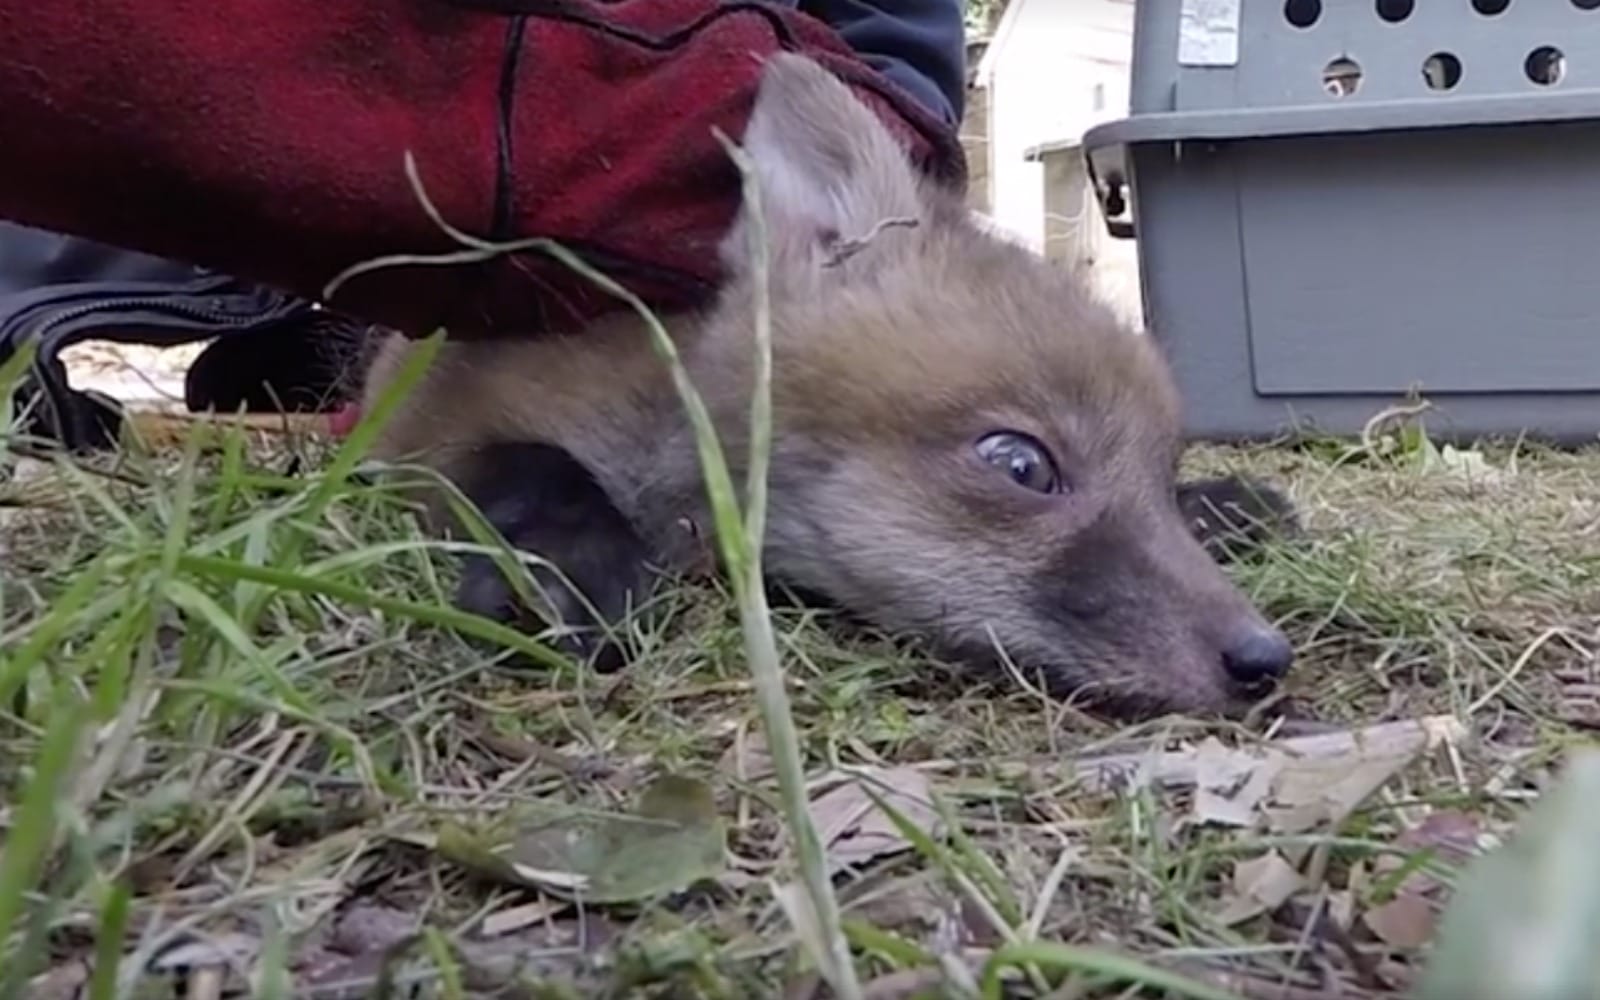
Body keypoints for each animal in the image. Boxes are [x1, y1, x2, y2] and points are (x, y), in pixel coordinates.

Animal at [357, 52, 1299, 719]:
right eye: (1022, 466)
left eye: (1162, 474)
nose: (1264, 661)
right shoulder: (433, 419)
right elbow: (529, 465)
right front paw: (567, 563)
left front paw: (1215, 507)